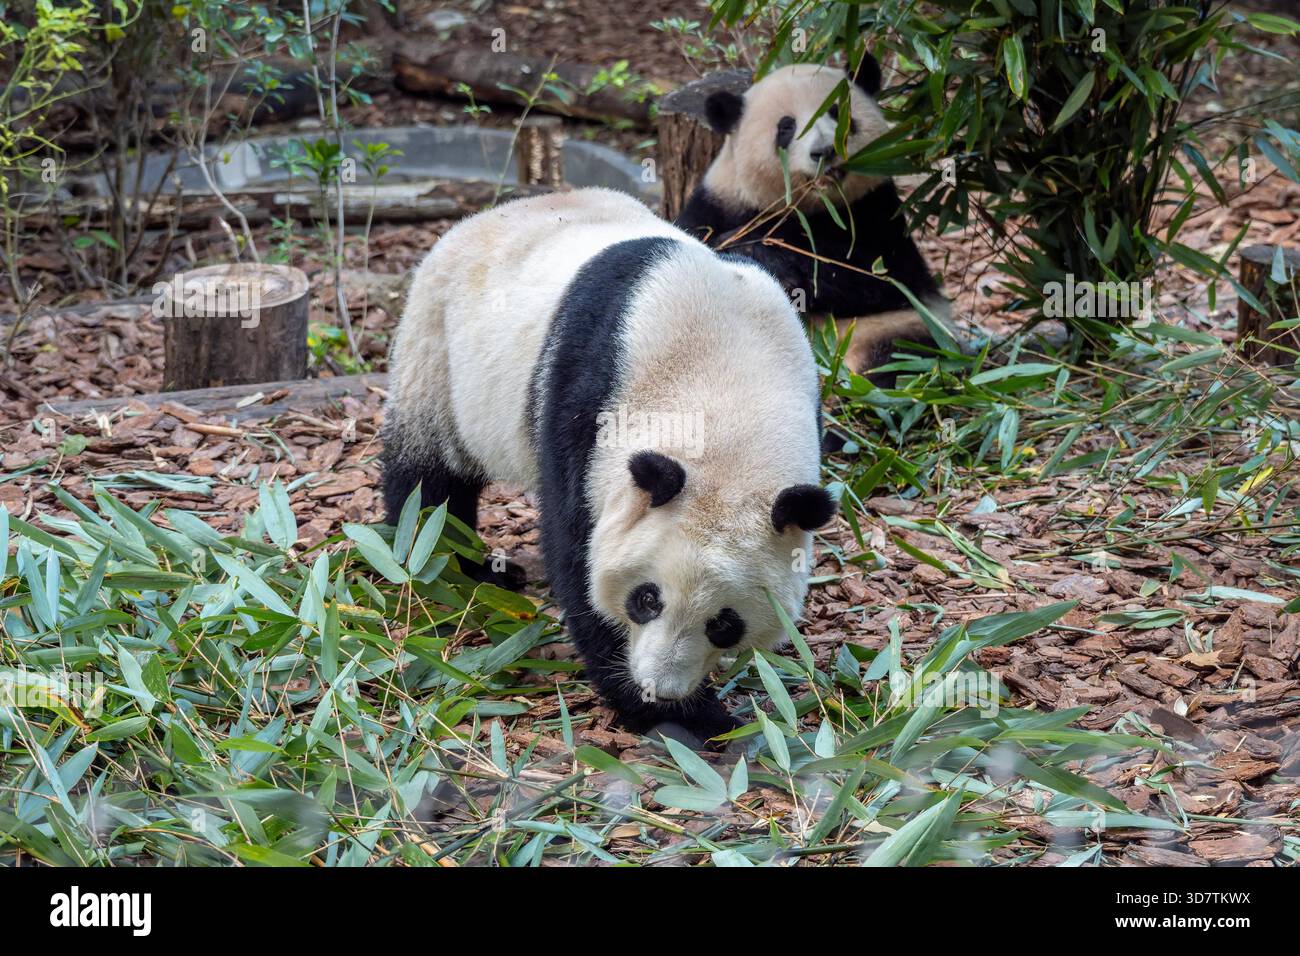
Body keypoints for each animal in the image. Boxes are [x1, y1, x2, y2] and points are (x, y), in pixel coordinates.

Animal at [382, 188, 837, 745]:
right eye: (647, 599)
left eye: (724, 623)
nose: (659, 688)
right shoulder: (588, 398)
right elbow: (578, 552)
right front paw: (674, 714)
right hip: (439, 343)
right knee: (430, 479)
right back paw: (453, 565)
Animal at [675, 60, 954, 375]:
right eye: (786, 126)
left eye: (838, 113)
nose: (825, 151)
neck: (813, 208)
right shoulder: (717, 204)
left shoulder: (877, 209)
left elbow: (884, 278)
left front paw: (763, 252)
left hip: (901, 330)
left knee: (902, 359)